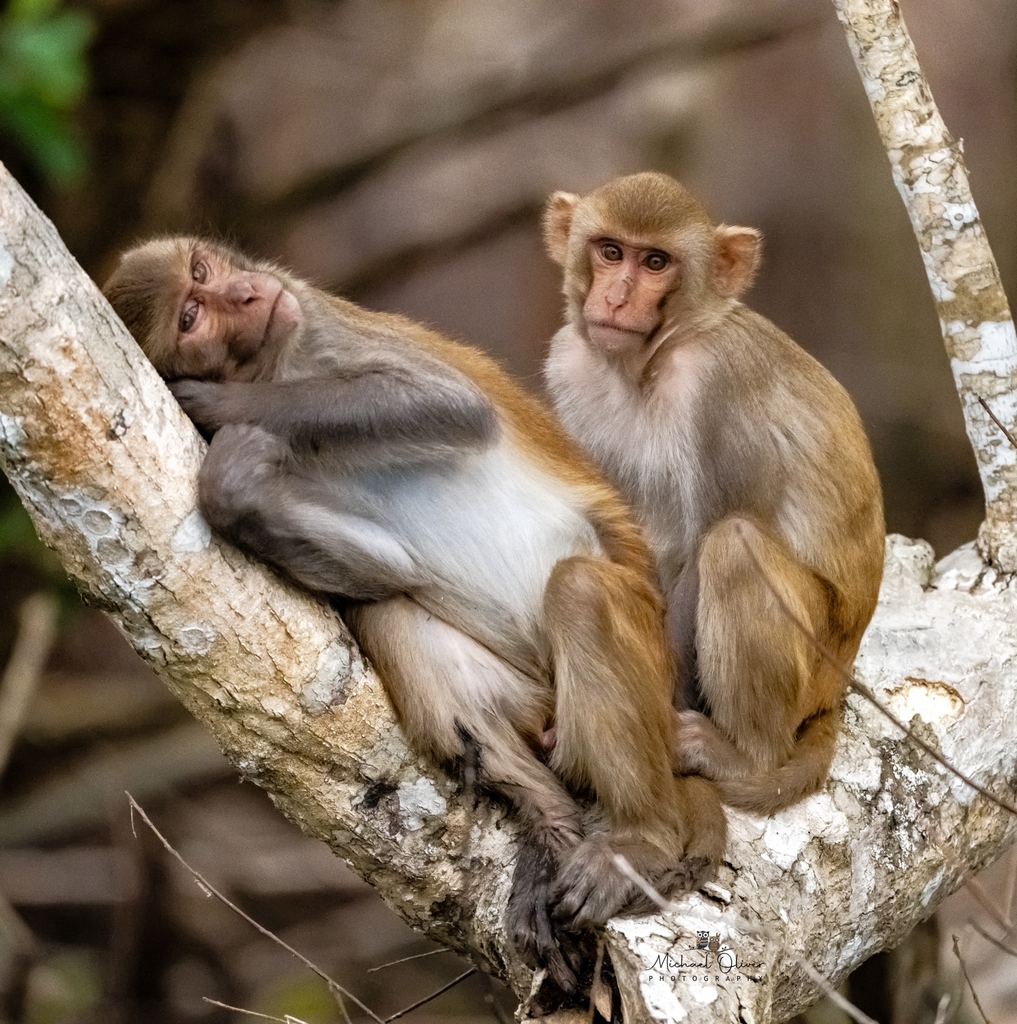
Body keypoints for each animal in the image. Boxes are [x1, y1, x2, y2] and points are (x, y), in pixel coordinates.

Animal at [102, 236, 727, 992]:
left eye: (203, 272)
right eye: (192, 315)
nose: (245, 294)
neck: (275, 362)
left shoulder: (316, 322)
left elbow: (447, 405)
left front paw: (218, 405)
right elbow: (389, 575)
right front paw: (236, 480)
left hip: (646, 656)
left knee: (579, 590)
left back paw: (640, 838)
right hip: (538, 698)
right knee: (395, 616)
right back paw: (552, 822)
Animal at [542, 172, 885, 816]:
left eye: (655, 262)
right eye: (610, 251)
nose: (617, 297)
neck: (648, 364)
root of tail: (838, 686)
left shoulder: (716, 383)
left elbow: (705, 539)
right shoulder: (570, 366)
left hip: (817, 662)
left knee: (732, 547)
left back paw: (747, 756)